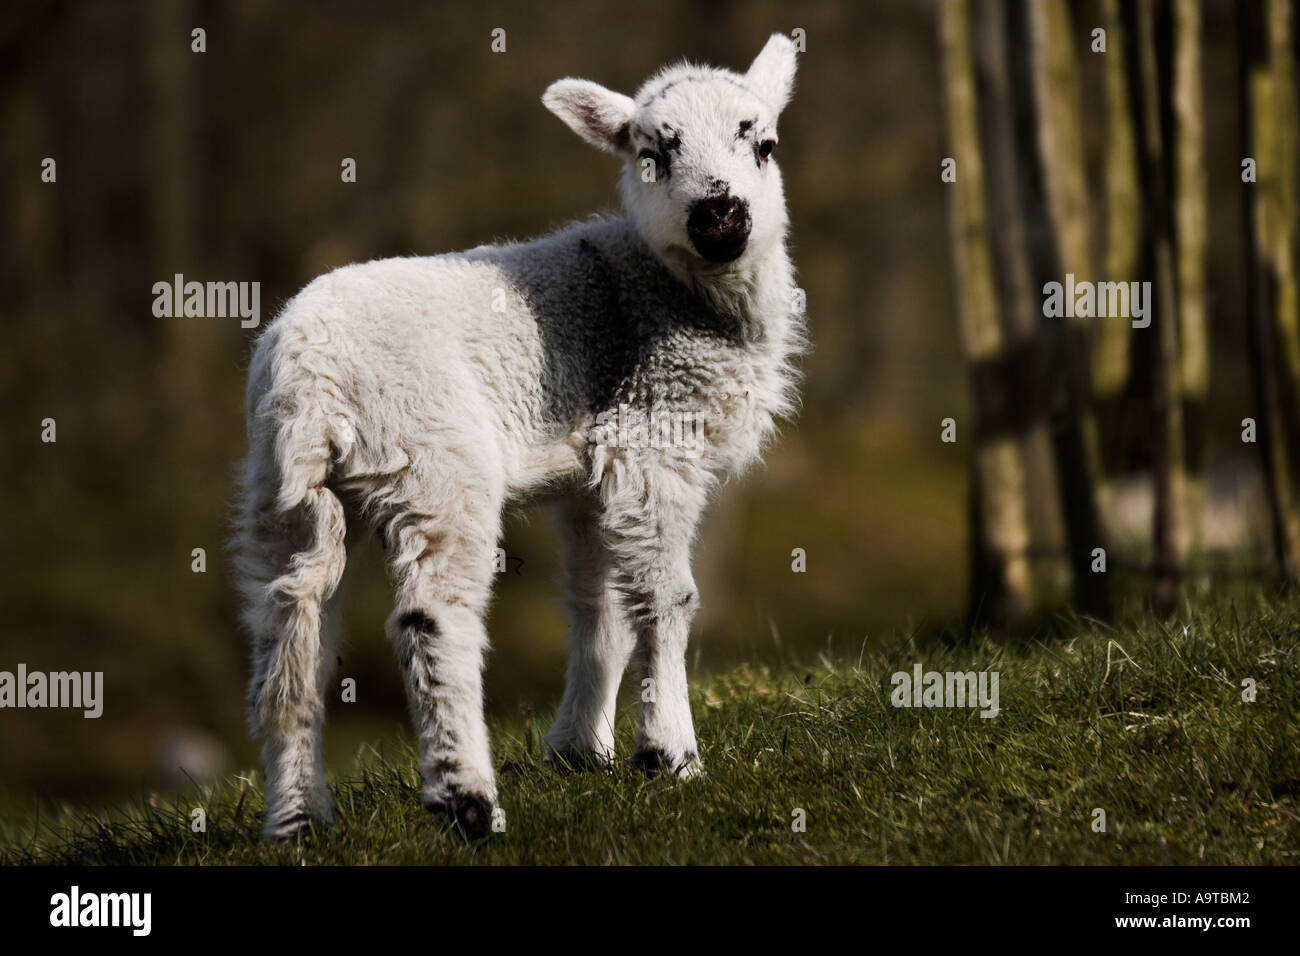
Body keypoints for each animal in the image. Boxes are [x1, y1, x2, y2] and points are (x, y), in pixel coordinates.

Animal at [232, 33, 804, 840]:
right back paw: (467, 802)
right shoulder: (652, 437)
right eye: (651, 153)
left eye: (764, 143)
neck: (671, 291)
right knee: (432, 621)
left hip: (279, 494)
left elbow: (601, 611)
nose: (720, 216)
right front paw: (670, 756)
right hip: (435, 461)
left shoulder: (594, 477)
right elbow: (667, 599)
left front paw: (581, 751)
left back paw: (297, 822)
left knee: (288, 640)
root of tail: (309, 376)